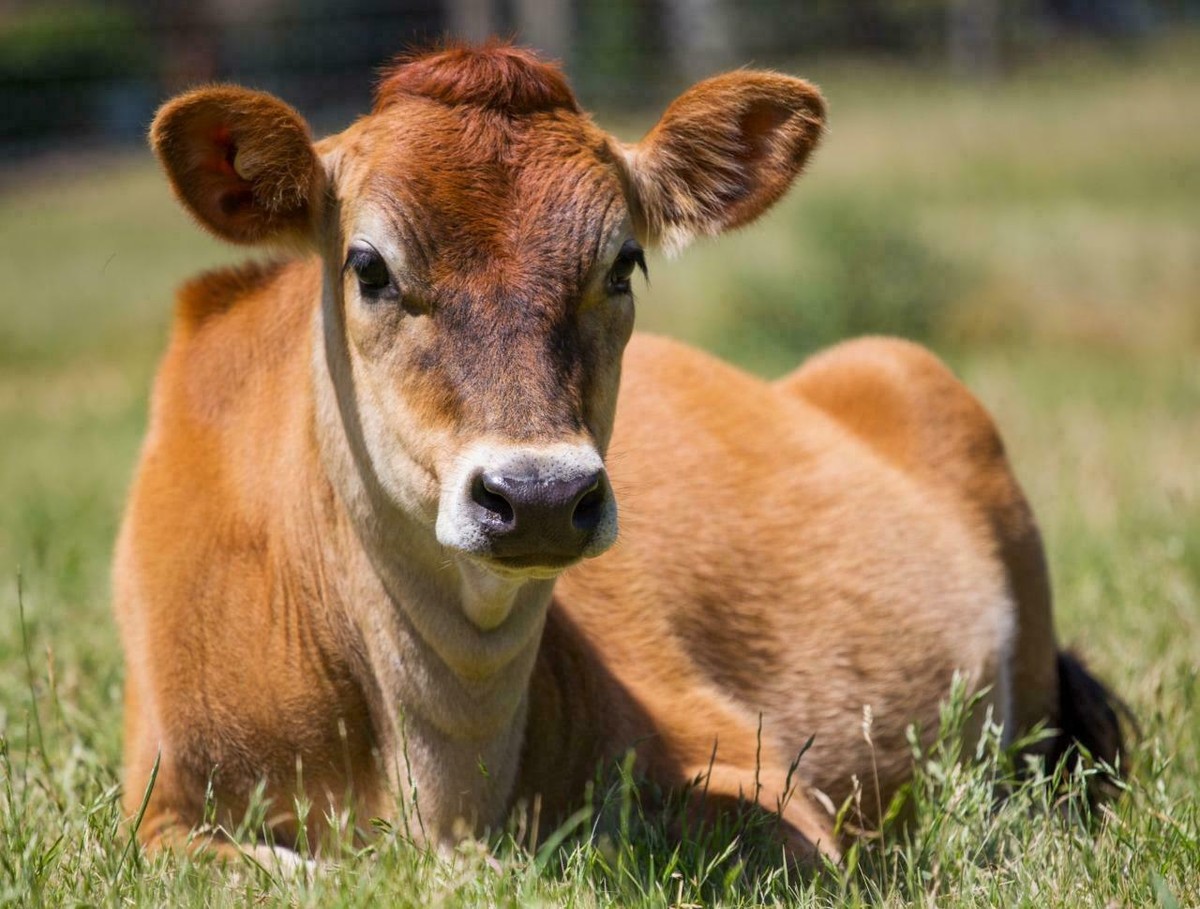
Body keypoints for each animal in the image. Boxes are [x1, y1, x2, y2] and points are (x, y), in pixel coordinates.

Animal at [114, 42, 1124, 866]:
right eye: (369, 266)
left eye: (623, 262)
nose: (539, 494)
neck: (443, 779)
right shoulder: (157, 811)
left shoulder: (757, 779)